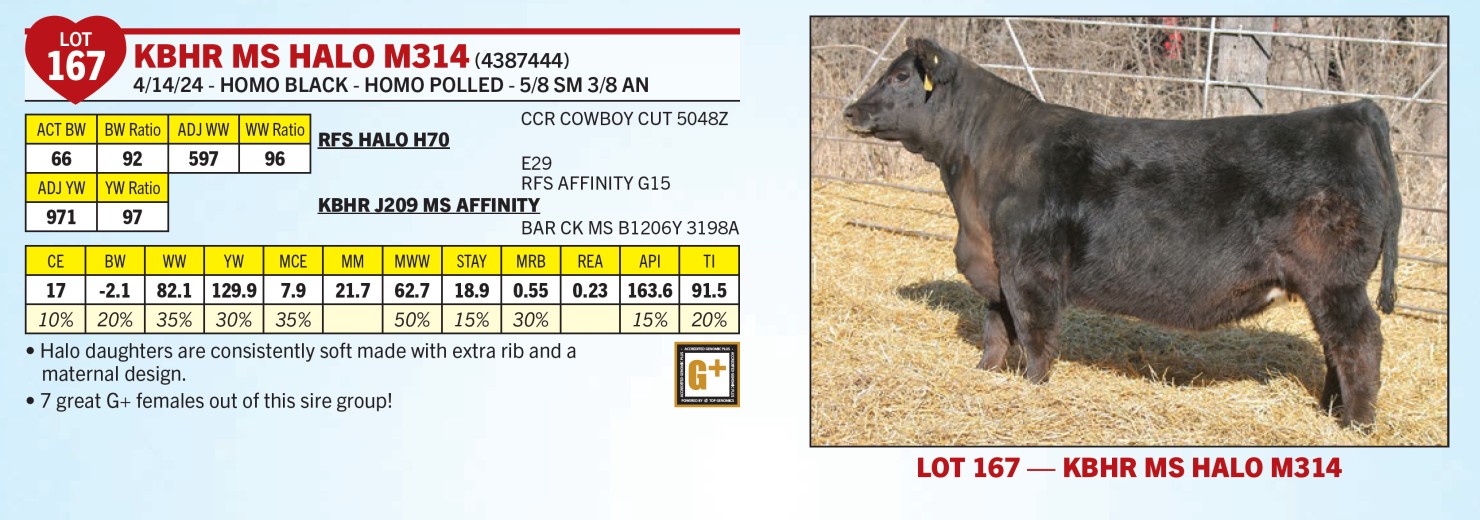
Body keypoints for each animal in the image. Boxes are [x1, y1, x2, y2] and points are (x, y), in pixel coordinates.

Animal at [842, 37, 1402, 429]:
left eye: (899, 76)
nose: (850, 110)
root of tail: (1352, 110)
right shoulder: (997, 265)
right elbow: (996, 329)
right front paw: (986, 374)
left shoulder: (1031, 268)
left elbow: (1034, 332)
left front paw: (1034, 386)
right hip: (1324, 286)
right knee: (1333, 345)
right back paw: (1330, 411)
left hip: (1336, 280)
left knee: (1359, 342)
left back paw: (1355, 423)